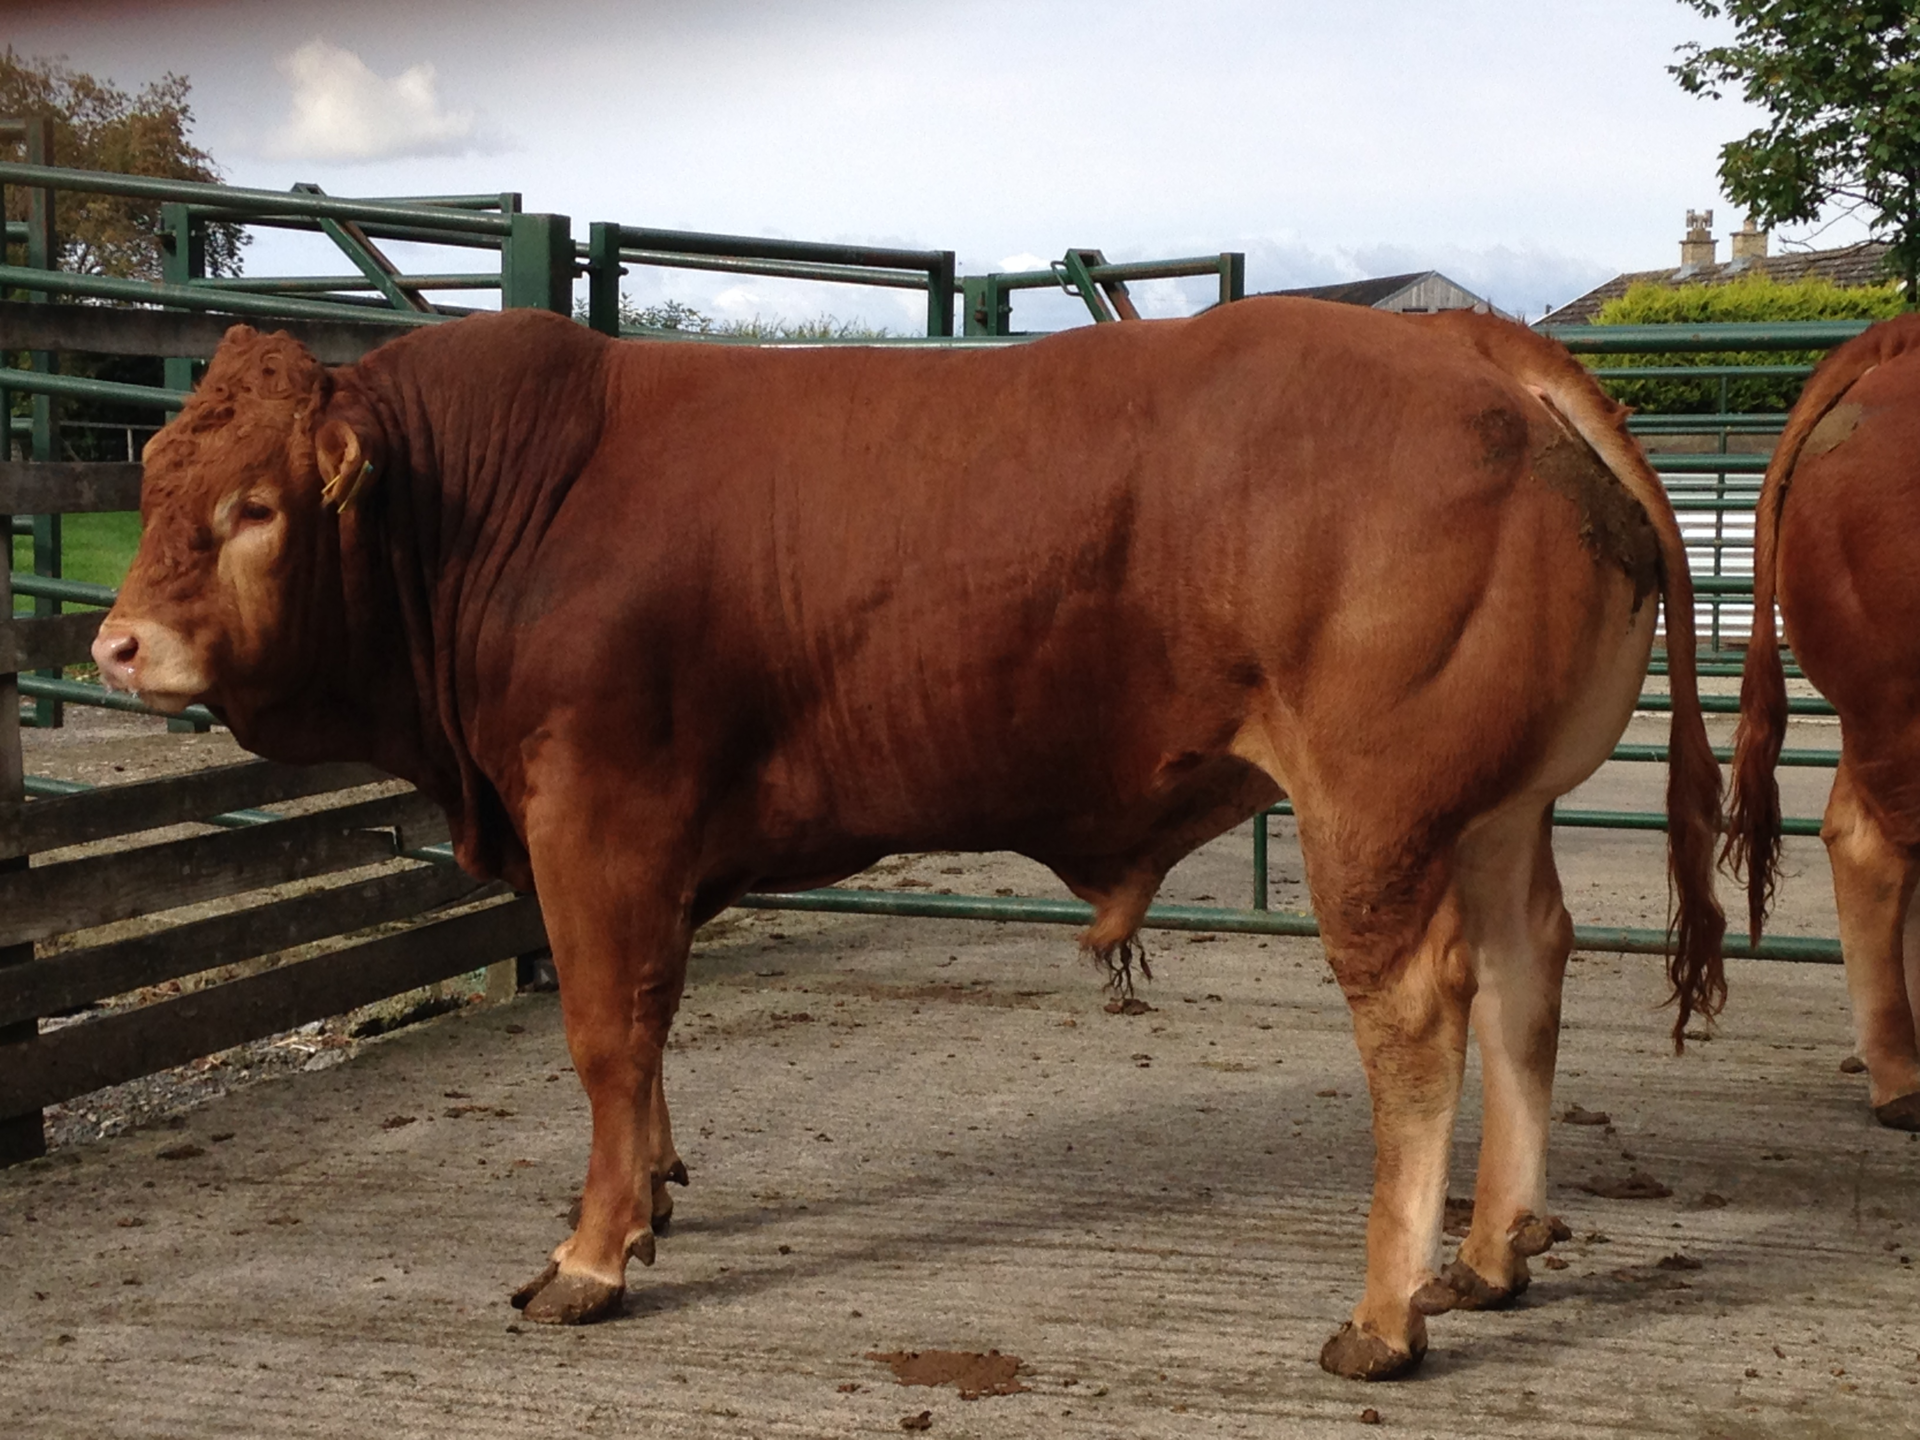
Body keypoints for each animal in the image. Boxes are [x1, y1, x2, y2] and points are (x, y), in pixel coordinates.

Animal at [93, 301, 1724, 1380]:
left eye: (254, 508)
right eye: (152, 480)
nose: (115, 647)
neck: (502, 512)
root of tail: (1465, 336)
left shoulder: (597, 814)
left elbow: (609, 1031)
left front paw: (591, 1255)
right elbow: (654, 1028)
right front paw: (655, 1195)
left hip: (1374, 817)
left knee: (1420, 1014)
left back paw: (1388, 1315)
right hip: (1495, 808)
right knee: (1526, 974)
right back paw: (1494, 1254)